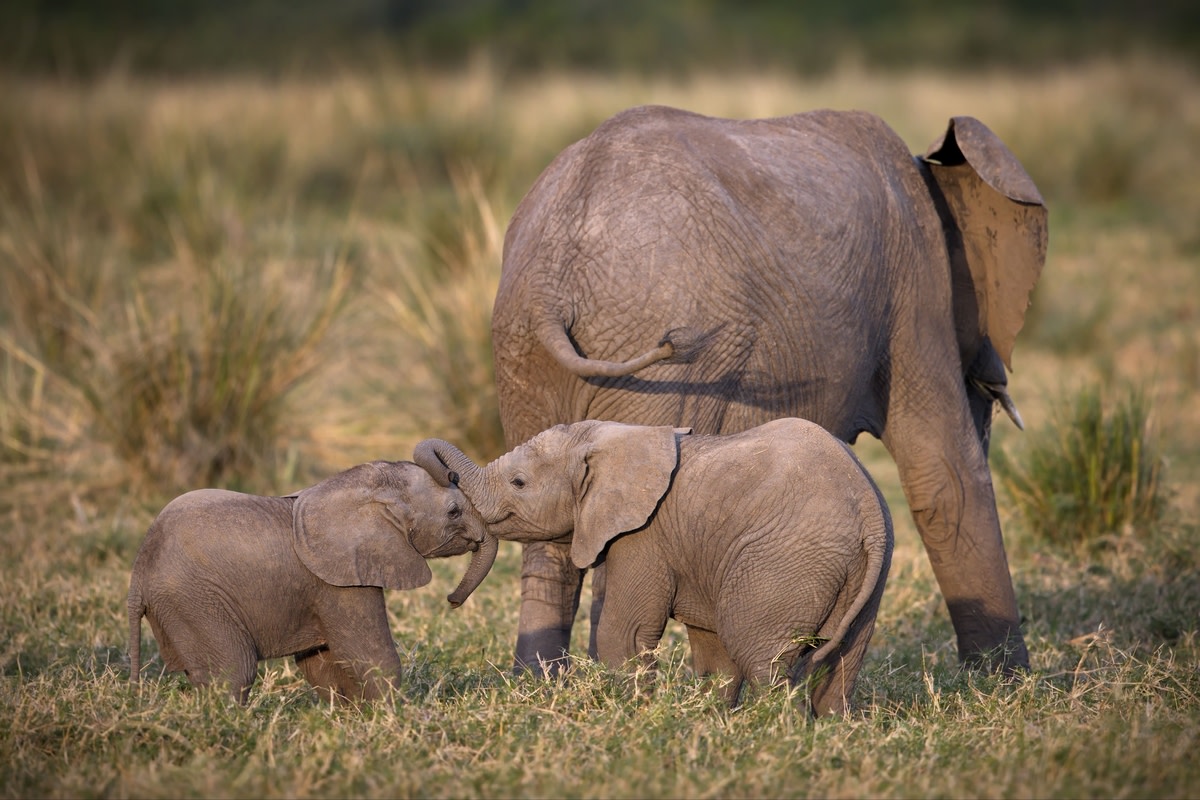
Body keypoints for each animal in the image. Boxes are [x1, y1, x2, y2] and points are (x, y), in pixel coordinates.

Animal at [126, 460, 498, 704]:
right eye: (453, 512)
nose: (452, 600)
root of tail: (138, 575)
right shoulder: (339, 579)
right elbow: (369, 654)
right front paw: (402, 719)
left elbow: (321, 664)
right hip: (195, 600)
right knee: (236, 669)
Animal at [414, 417, 894, 716]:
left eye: (519, 483)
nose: (451, 600)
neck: (613, 438)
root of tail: (868, 510)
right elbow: (711, 650)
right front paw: (707, 720)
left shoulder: (643, 537)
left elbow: (623, 632)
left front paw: (630, 716)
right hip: (863, 573)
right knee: (840, 662)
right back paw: (830, 727)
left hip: (784, 562)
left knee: (762, 656)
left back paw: (775, 730)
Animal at [487, 105, 1046, 675]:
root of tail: (551, 281)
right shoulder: (916, 289)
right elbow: (944, 477)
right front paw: (1005, 682)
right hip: (660, 352)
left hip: (525, 346)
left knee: (550, 534)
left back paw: (546, 681)